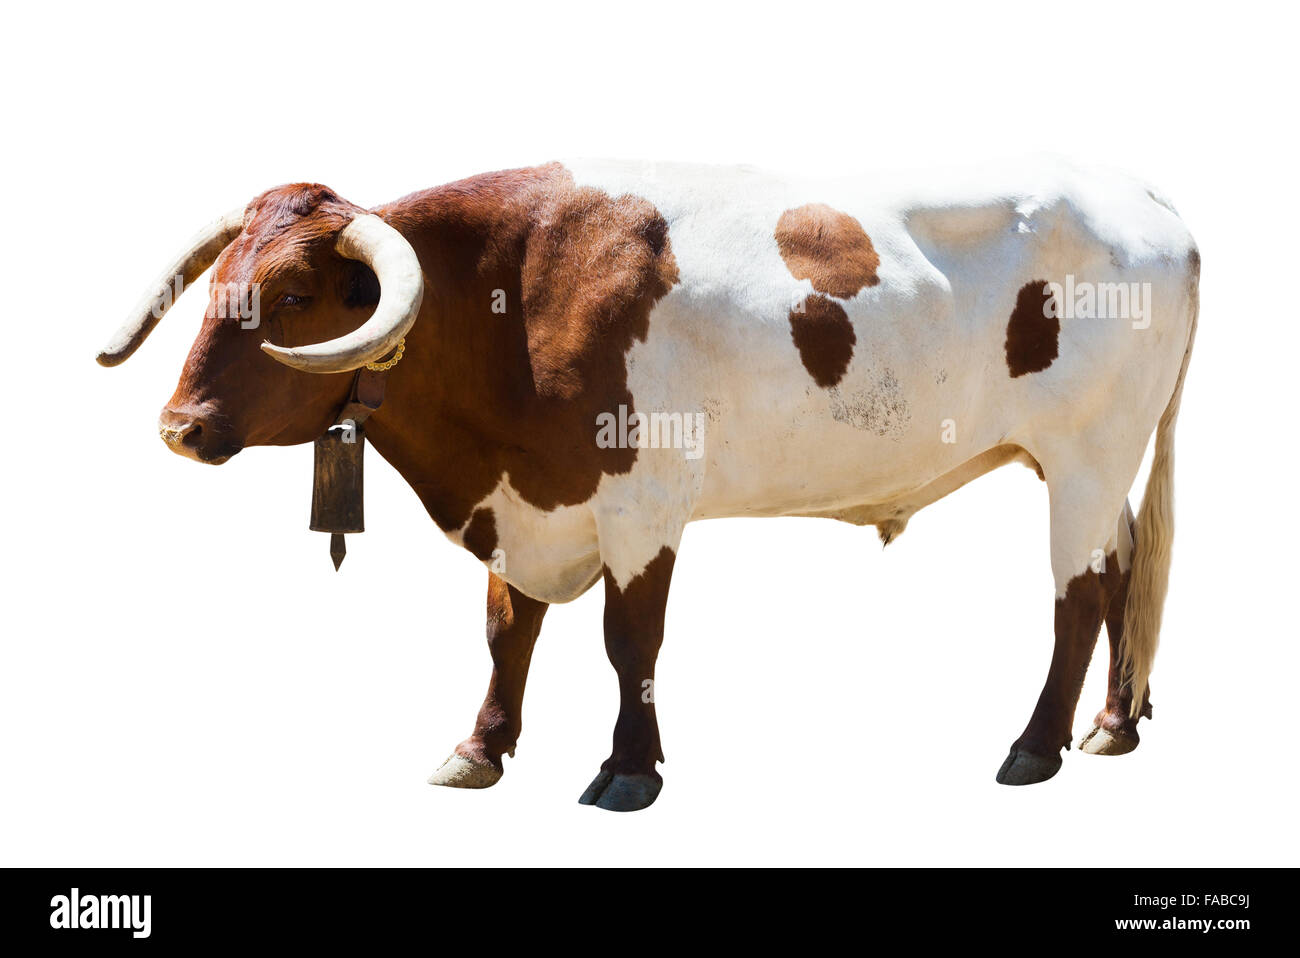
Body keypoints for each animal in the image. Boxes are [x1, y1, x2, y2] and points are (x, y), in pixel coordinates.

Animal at [98, 159, 1199, 811]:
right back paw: (1110, 727)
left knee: (1078, 595)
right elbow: (508, 631)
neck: (503, 304)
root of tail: (1151, 206)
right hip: (1100, 465)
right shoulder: (525, 505)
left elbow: (629, 641)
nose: (179, 427)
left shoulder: (641, 506)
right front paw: (481, 748)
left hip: (1086, 455)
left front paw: (628, 766)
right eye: (218, 283)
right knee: (1121, 572)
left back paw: (1035, 745)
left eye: (292, 295)